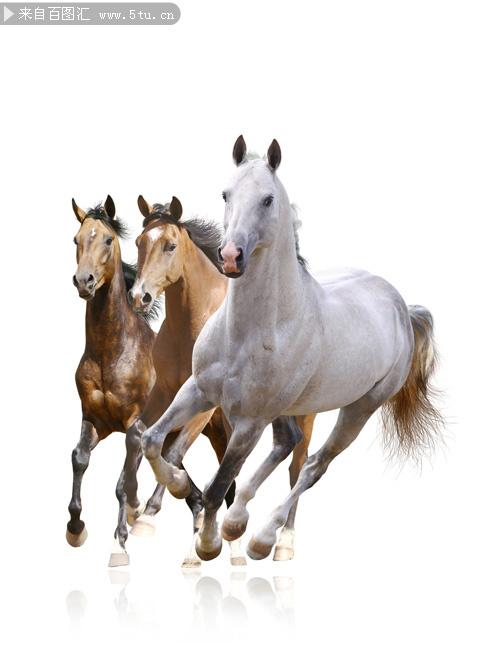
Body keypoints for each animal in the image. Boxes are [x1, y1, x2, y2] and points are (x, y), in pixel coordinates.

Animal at [139, 135, 443, 562]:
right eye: (226, 194)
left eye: (267, 199)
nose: (230, 257)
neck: (248, 331)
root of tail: (401, 306)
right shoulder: (198, 390)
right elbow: (152, 441)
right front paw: (181, 487)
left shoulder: (250, 421)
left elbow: (218, 485)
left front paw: (209, 544)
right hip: (289, 408)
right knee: (288, 444)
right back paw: (239, 521)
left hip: (359, 409)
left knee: (313, 466)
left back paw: (262, 538)